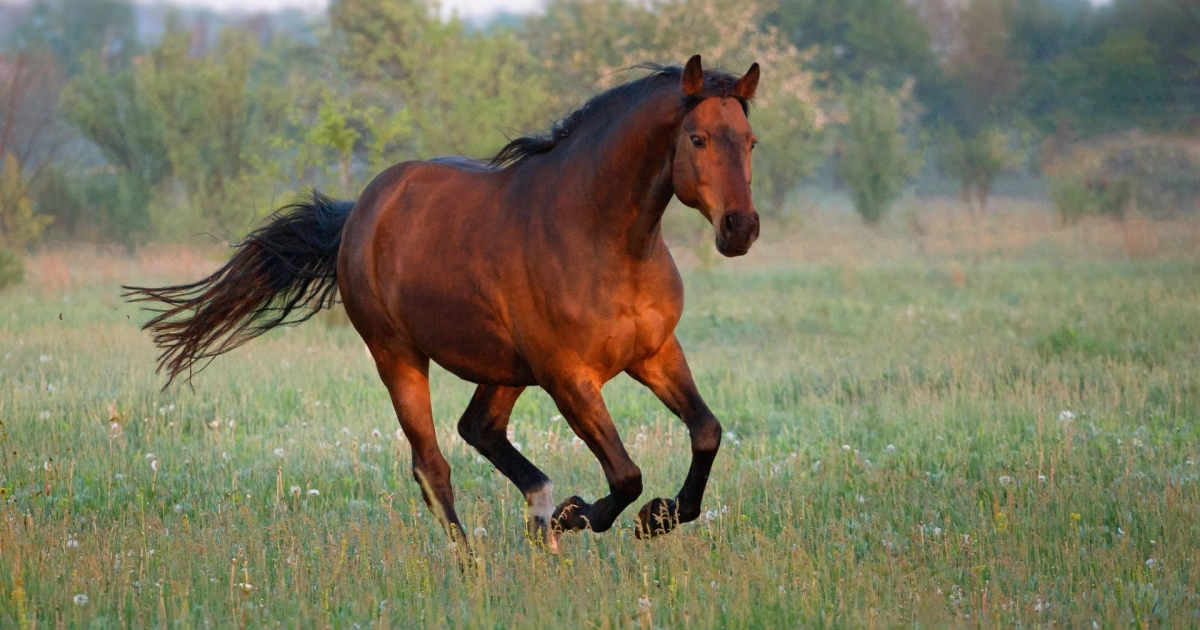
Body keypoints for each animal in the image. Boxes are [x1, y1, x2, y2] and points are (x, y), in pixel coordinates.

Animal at [124, 55, 761, 550]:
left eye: (751, 141)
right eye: (698, 139)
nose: (741, 229)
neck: (604, 238)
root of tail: (361, 211)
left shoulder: (654, 353)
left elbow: (706, 432)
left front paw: (655, 518)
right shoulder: (570, 378)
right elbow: (626, 475)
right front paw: (582, 515)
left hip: (507, 369)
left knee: (478, 428)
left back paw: (538, 513)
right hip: (399, 357)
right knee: (432, 466)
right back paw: (480, 559)